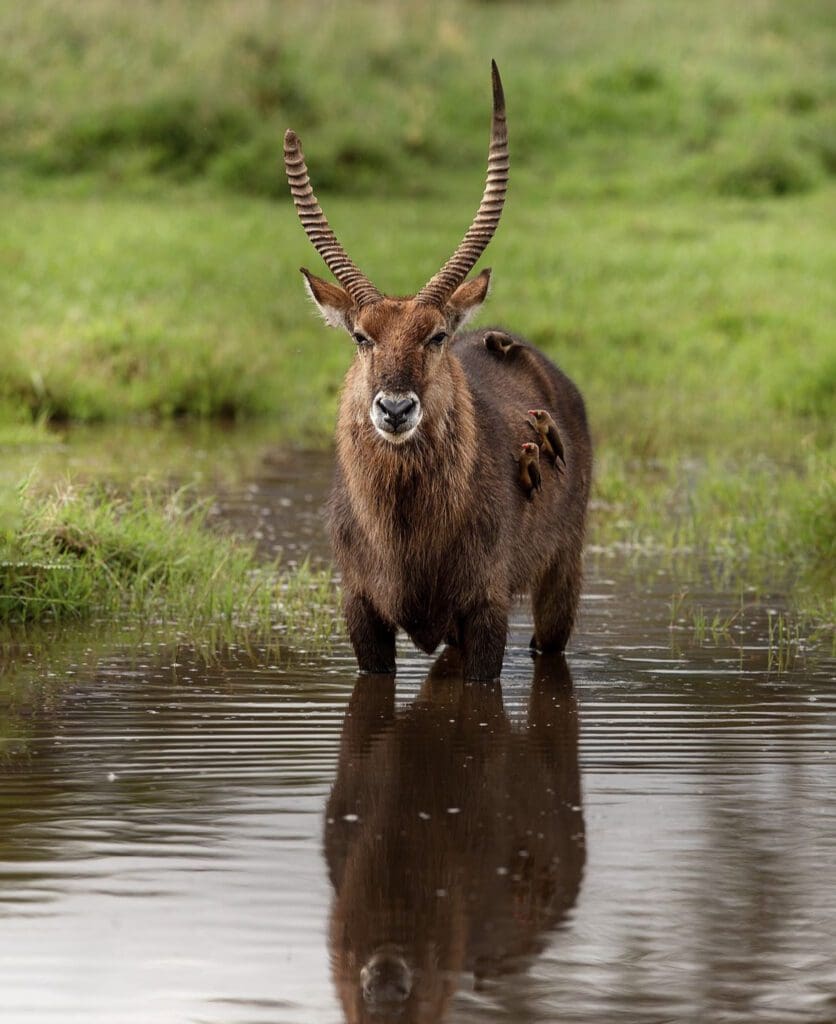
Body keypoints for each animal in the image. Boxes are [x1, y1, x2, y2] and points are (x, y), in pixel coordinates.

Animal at [284, 62, 592, 680]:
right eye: (361, 337)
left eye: (436, 336)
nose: (396, 408)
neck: (407, 534)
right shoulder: (361, 611)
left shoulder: (486, 611)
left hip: (562, 575)